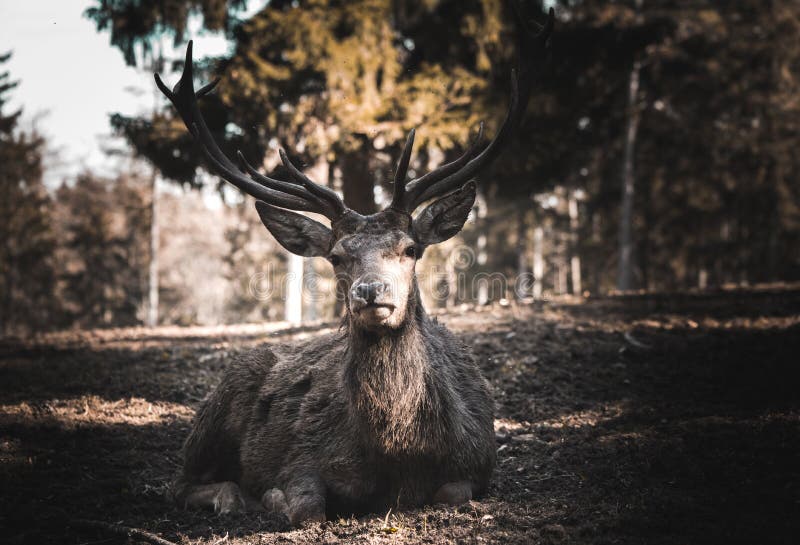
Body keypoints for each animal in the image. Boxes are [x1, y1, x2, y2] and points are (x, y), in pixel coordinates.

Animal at [154, 3, 553, 526]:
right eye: (337, 256)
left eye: (410, 249)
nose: (371, 292)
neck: (397, 455)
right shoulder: (300, 457)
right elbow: (303, 507)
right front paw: (269, 497)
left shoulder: (479, 462)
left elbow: (452, 492)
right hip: (219, 403)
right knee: (178, 481)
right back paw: (232, 497)